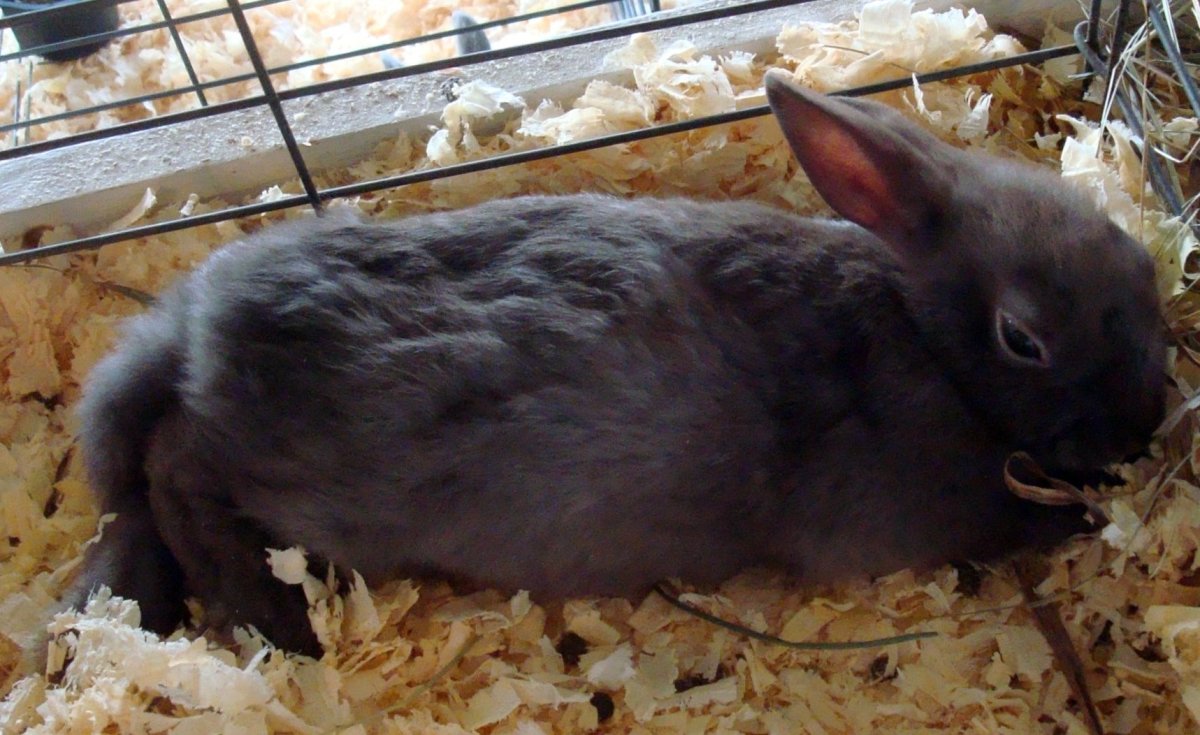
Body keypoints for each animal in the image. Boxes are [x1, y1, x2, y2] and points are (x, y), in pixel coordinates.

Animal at [49, 73, 1165, 658]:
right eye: (1024, 336)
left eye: (1141, 261)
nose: (1148, 420)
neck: (924, 337)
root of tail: (196, 323)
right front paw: (1076, 514)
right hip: (291, 478)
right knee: (177, 473)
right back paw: (281, 622)